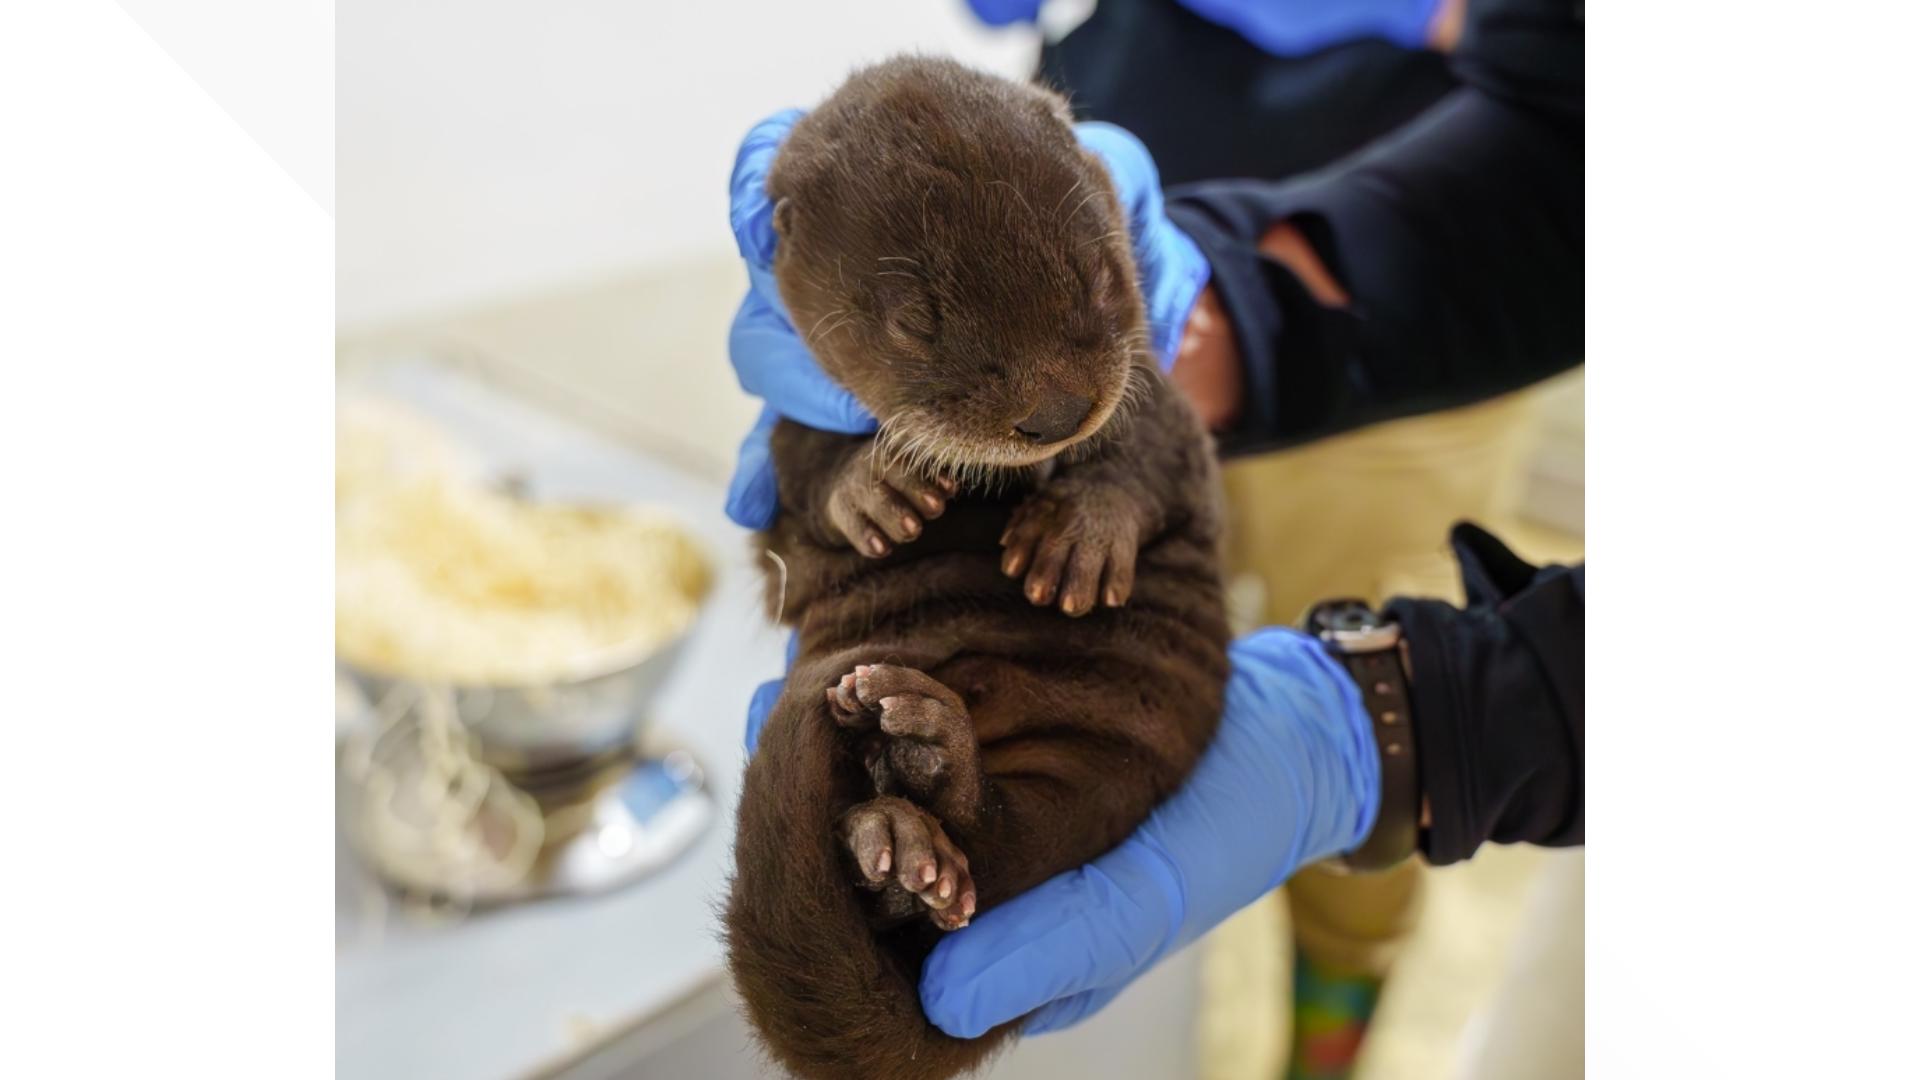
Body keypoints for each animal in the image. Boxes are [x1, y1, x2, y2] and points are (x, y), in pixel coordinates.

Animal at [724, 57, 1230, 1080]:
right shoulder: (791, 423)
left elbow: (1147, 460)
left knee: (1008, 839)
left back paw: (922, 768)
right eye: (917, 318)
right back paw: (891, 830)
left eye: (1097, 271)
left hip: (1117, 764)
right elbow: (801, 466)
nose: (1059, 411)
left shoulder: (1159, 399)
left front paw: (1077, 534)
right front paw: (870, 490)